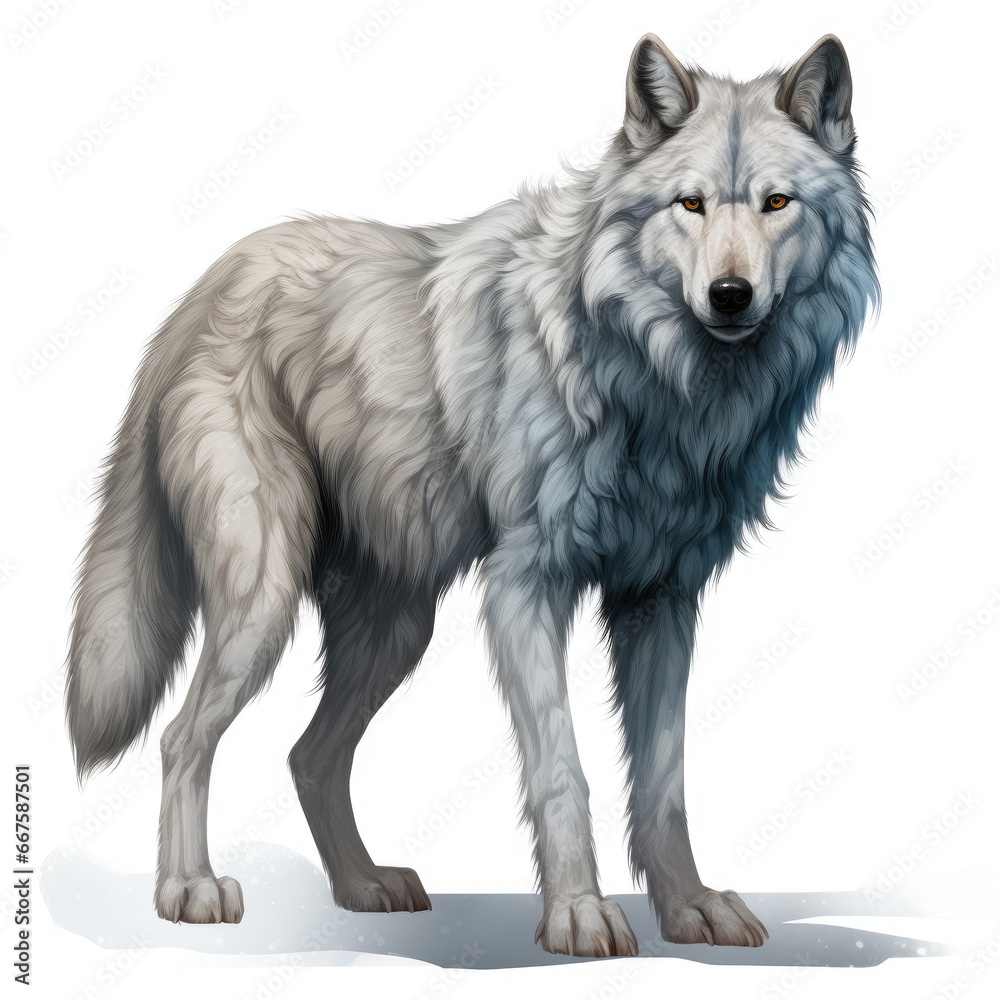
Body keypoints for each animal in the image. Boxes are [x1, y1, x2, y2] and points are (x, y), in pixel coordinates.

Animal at [66, 33, 878, 956]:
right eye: (691, 205)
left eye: (776, 203)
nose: (731, 296)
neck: (652, 379)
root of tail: (196, 294)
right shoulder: (527, 584)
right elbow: (564, 770)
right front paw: (577, 914)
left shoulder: (661, 599)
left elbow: (663, 781)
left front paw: (688, 907)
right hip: (264, 603)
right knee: (180, 737)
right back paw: (188, 889)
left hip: (394, 631)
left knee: (310, 756)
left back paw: (362, 884)